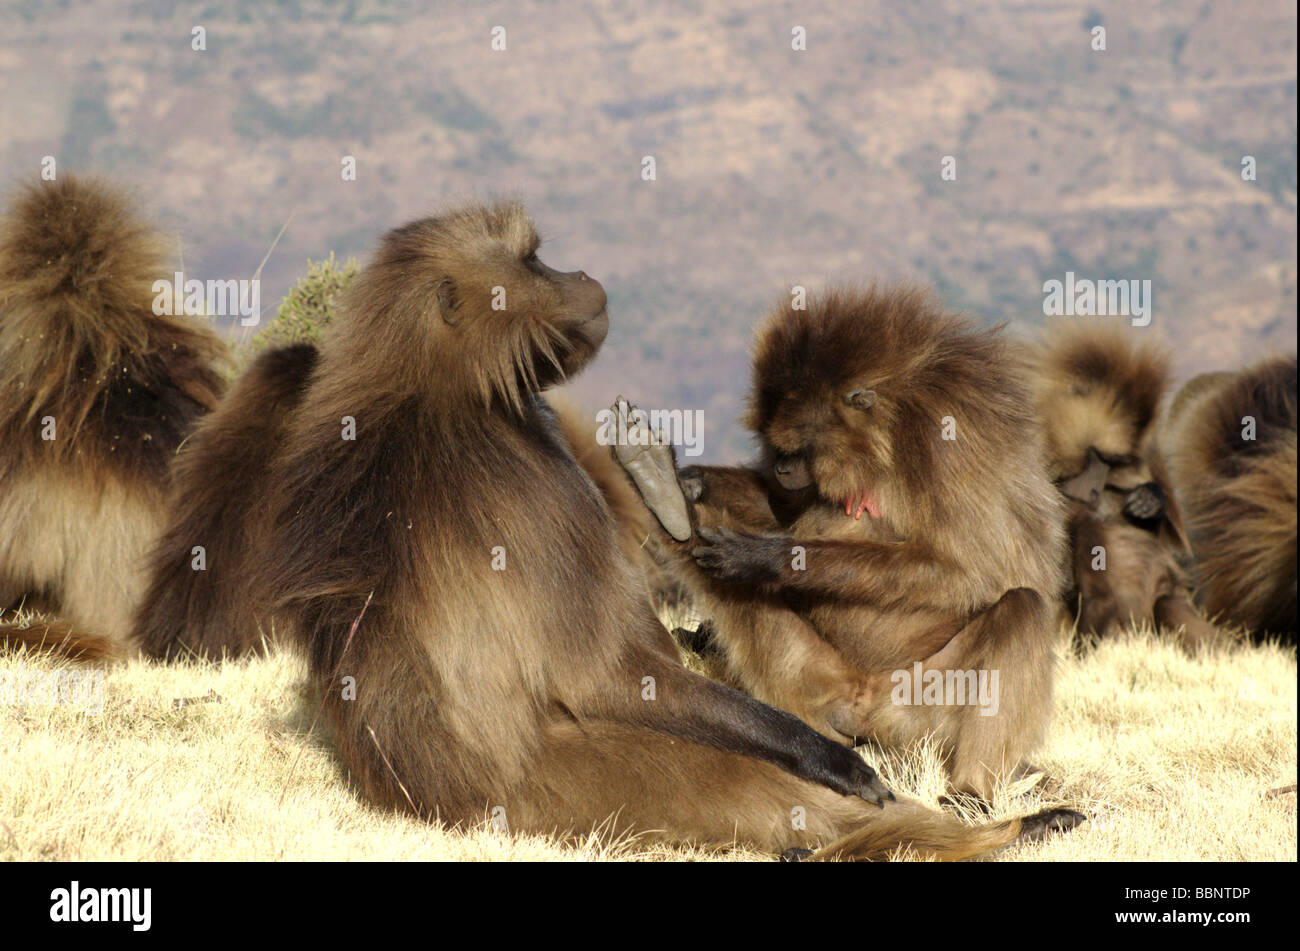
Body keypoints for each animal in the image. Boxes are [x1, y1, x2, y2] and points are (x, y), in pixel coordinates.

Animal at [613, 284, 1069, 802]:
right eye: (777, 448)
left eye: (796, 447)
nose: (784, 467)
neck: (888, 435)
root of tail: (864, 707)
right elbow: (786, 507)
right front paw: (689, 481)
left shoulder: (947, 442)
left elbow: (970, 575)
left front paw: (766, 557)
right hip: (818, 681)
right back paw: (665, 497)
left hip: (919, 711)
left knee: (1022, 609)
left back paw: (971, 791)